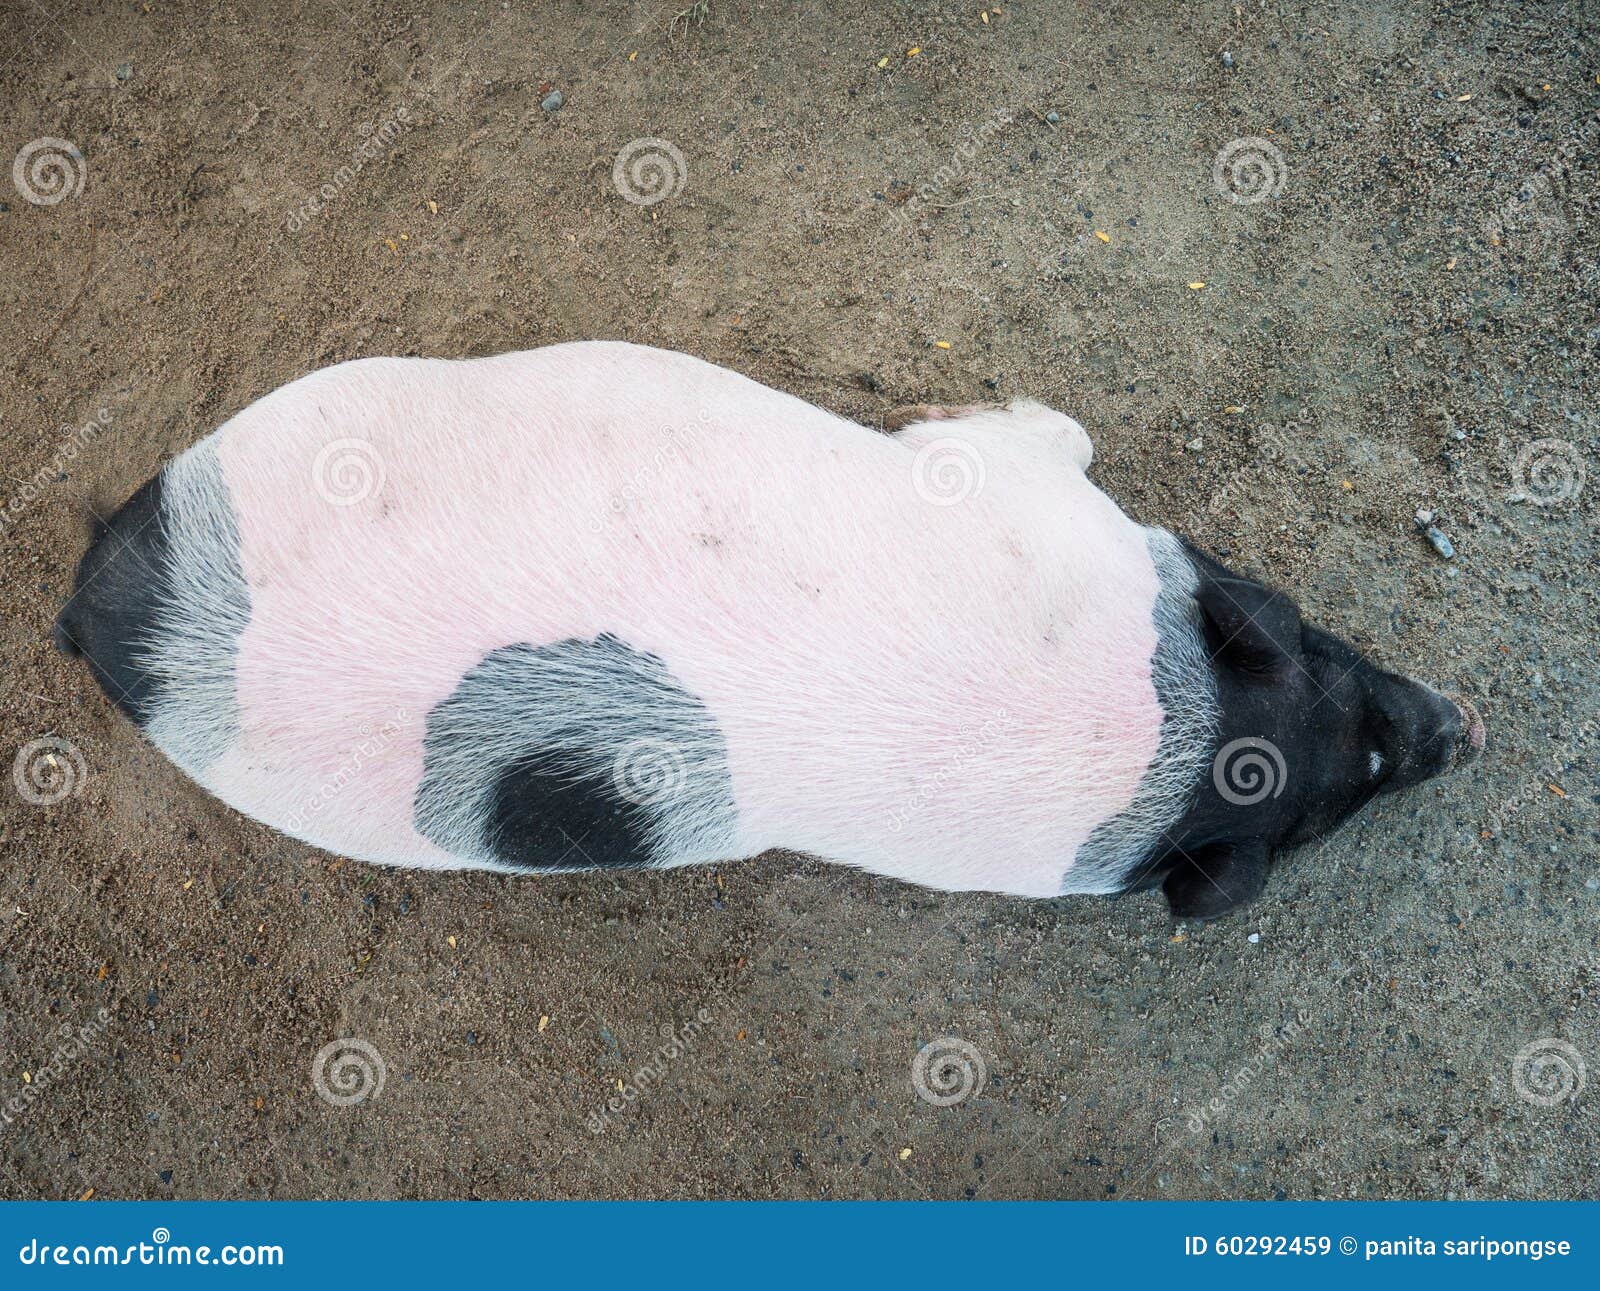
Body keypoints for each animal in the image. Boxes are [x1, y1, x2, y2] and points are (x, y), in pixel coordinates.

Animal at [54, 342, 1483, 917]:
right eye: (1326, 654)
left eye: (1319, 811)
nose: (1461, 725)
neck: (1136, 734)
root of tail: (113, 617)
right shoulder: (1035, 508)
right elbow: (1039, 437)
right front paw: (987, 407)